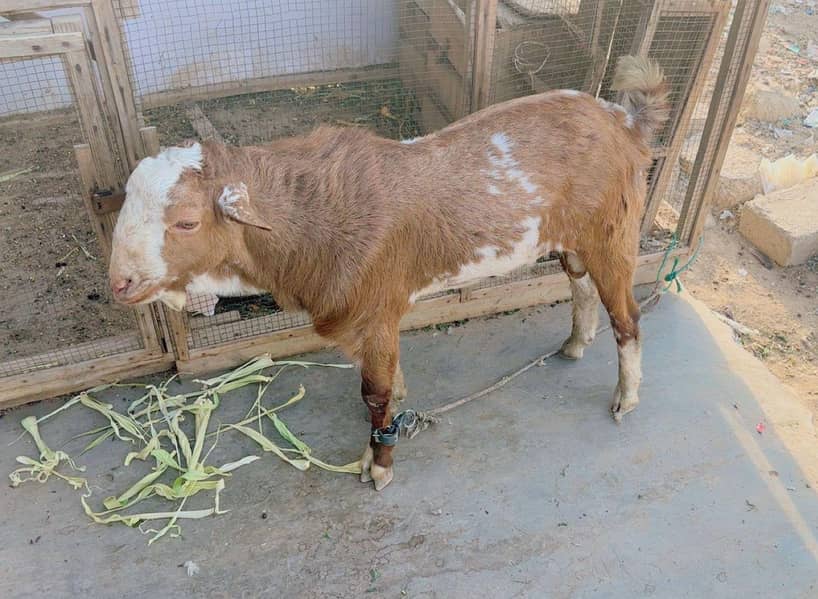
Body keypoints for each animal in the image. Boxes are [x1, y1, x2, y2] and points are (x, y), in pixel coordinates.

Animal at [109, 55, 669, 491]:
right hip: (574, 238)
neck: (314, 219)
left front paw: (378, 465)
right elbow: (387, 382)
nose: (120, 283)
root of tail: (624, 121)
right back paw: (575, 344)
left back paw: (626, 398)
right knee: (580, 285)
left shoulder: (374, 307)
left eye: (186, 221)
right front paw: (401, 400)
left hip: (614, 233)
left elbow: (374, 396)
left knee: (628, 317)